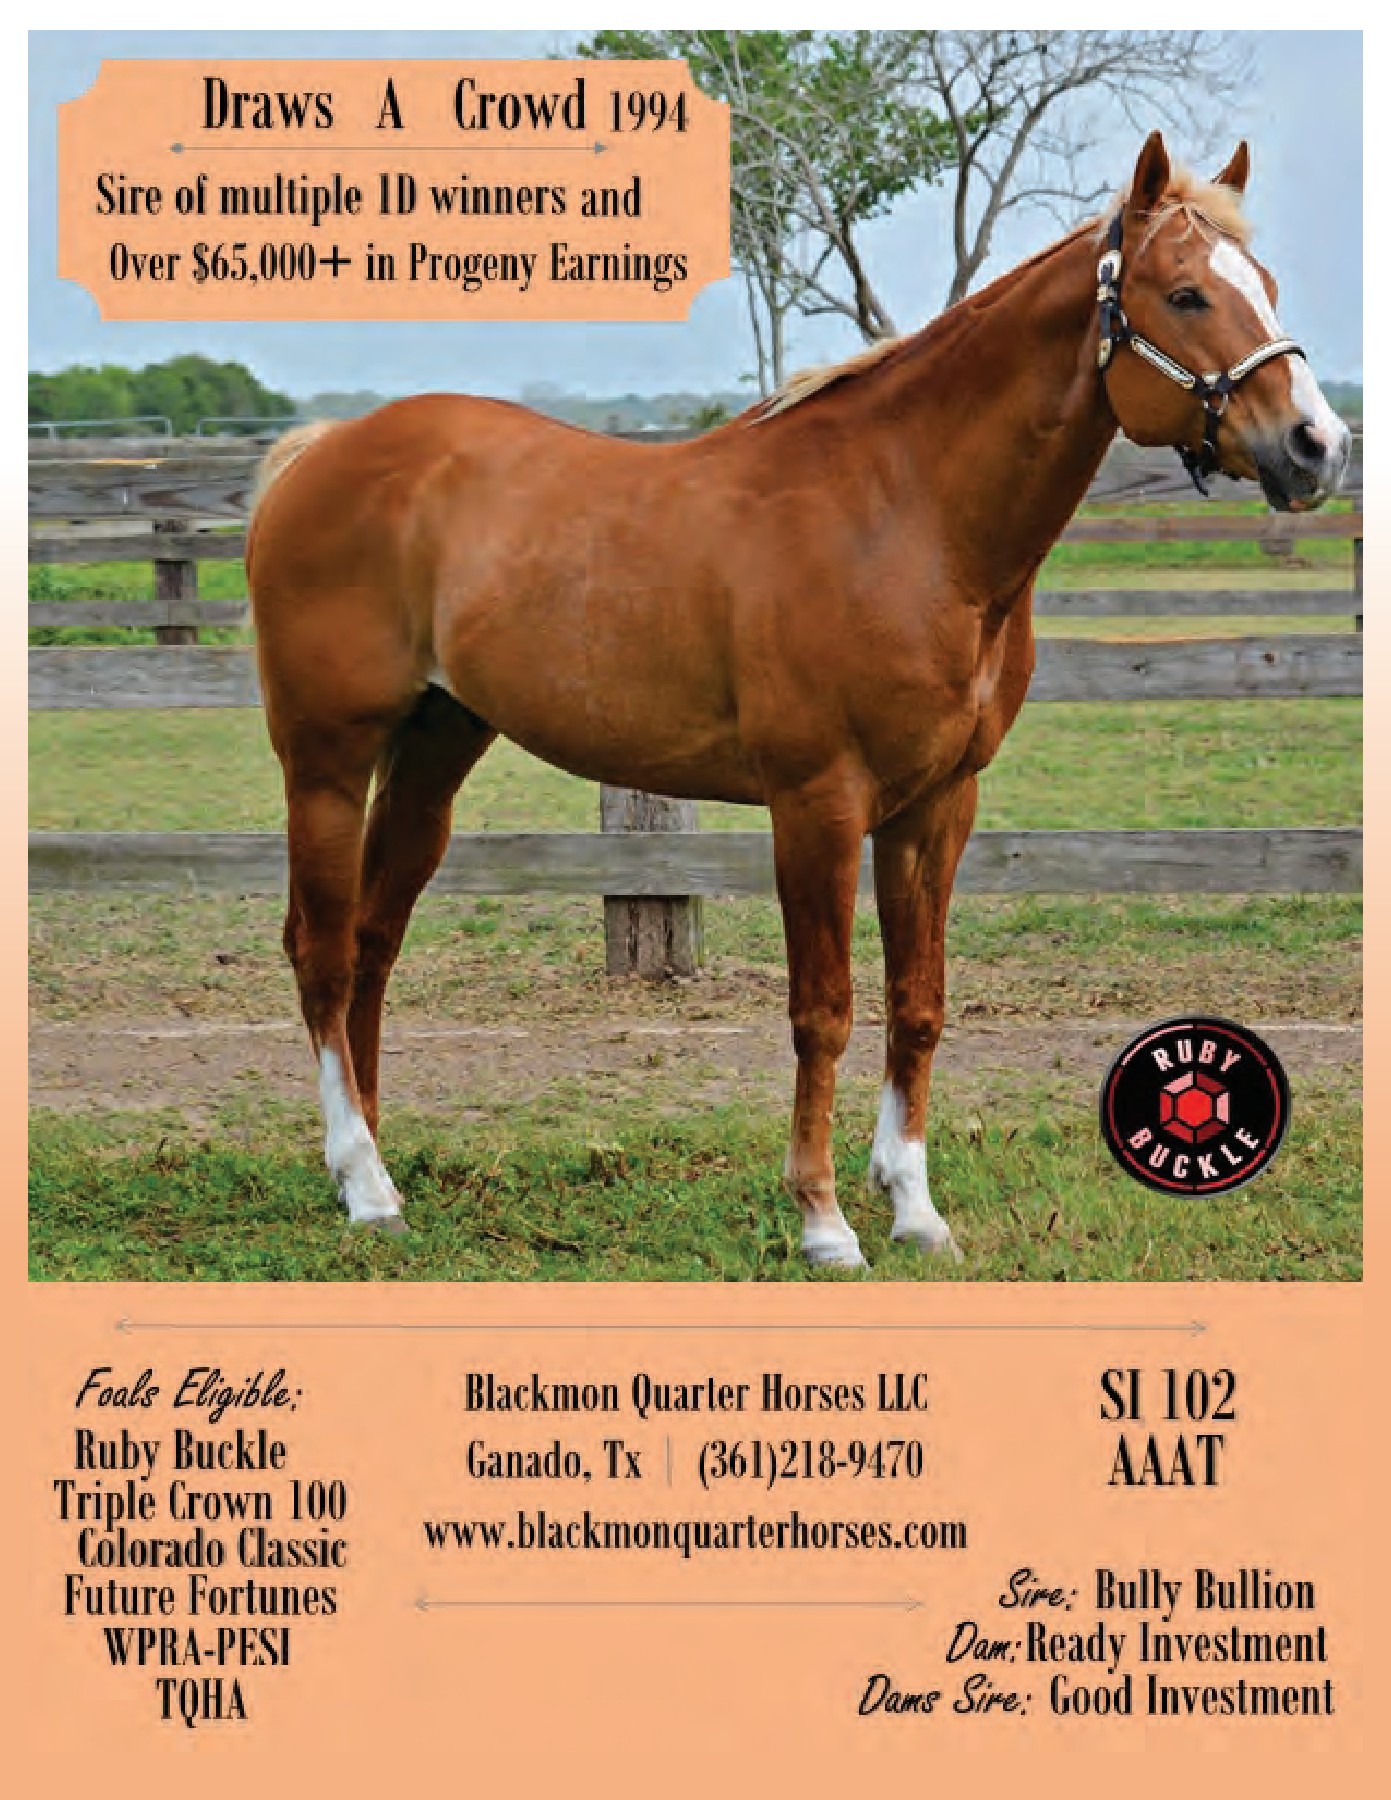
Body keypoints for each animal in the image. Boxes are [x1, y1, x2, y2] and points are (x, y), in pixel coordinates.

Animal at [247, 132, 1349, 1268]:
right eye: (1184, 293)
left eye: (1262, 285)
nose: (1316, 446)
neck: (904, 518)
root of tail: (321, 452)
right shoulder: (815, 805)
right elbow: (822, 1009)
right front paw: (823, 1222)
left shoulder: (933, 807)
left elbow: (916, 1002)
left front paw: (913, 1208)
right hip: (326, 760)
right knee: (320, 952)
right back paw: (362, 1183)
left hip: (434, 752)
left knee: (372, 944)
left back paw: (373, 1167)